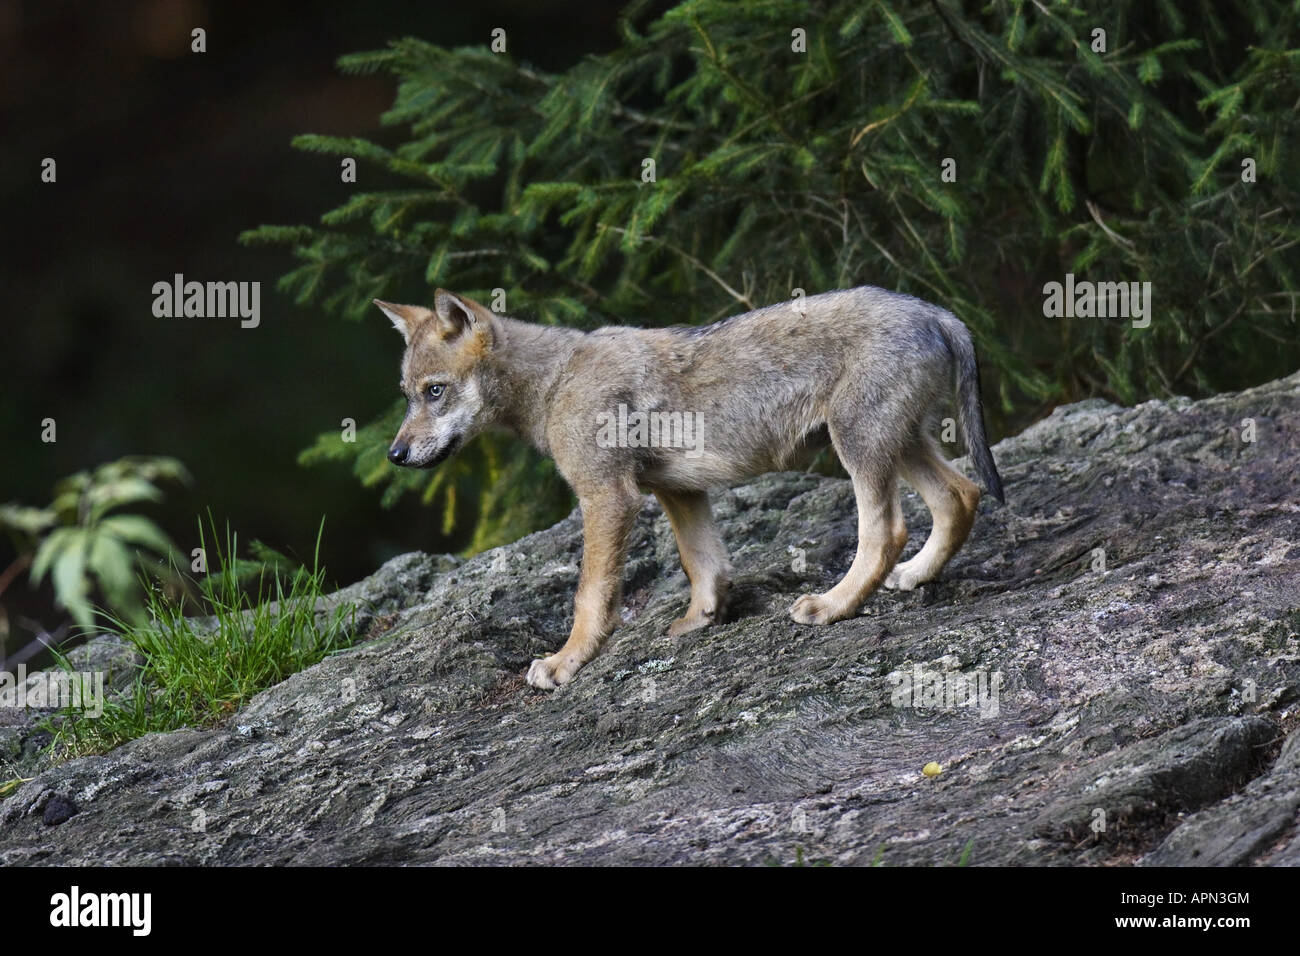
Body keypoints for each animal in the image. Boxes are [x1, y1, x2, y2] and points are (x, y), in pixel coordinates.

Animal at [376, 287, 1004, 690]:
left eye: (435, 391)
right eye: (406, 394)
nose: (394, 455)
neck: (556, 381)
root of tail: (935, 310)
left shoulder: (608, 497)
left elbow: (589, 597)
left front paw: (566, 663)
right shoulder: (676, 492)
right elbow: (704, 565)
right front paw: (700, 623)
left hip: (861, 449)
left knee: (887, 532)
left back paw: (830, 607)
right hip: (901, 446)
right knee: (961, 495)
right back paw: (916, 577)